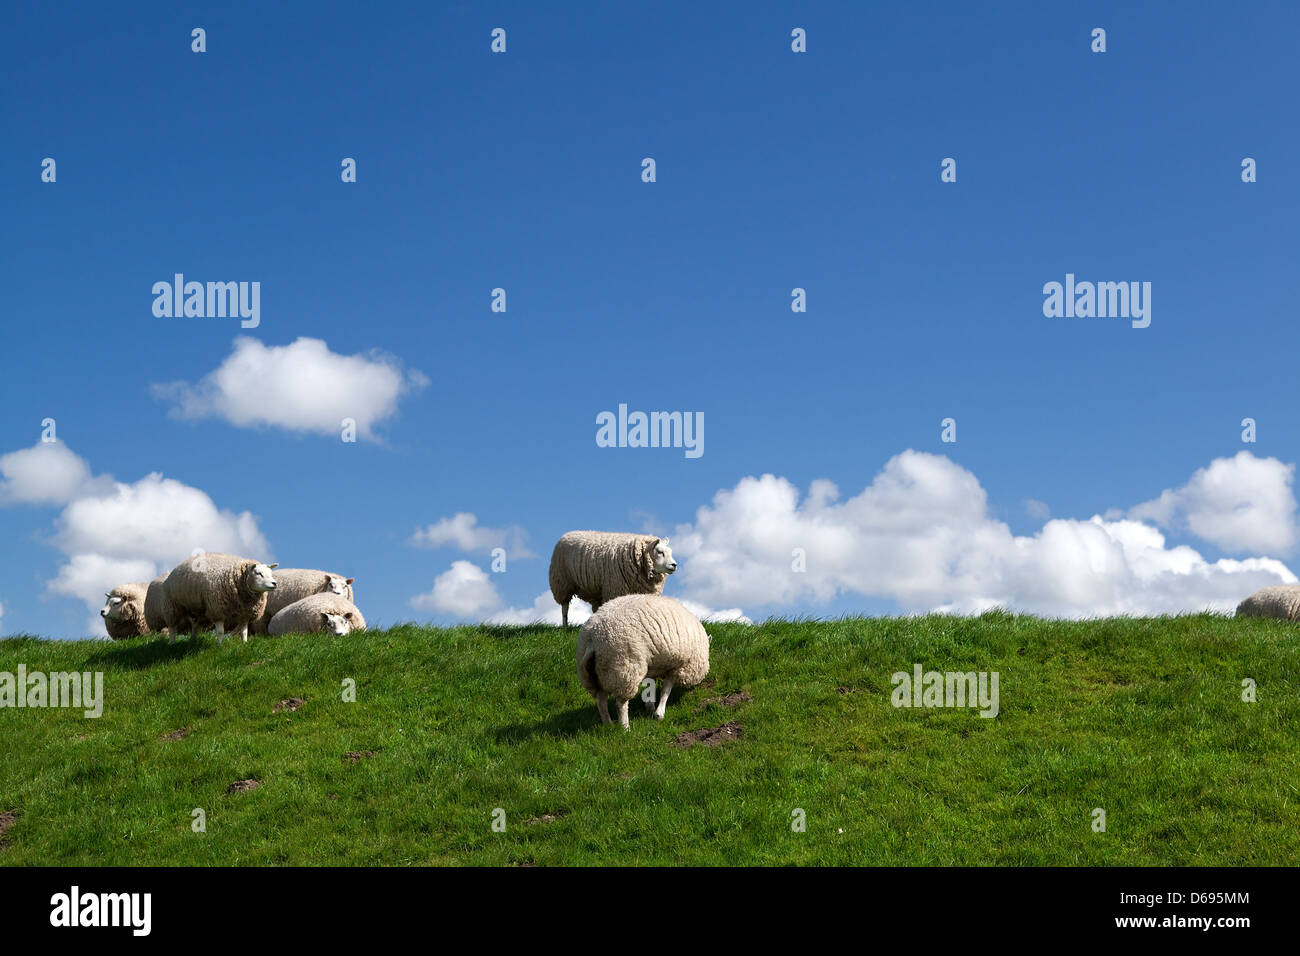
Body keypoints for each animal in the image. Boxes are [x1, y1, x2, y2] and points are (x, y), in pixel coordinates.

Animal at [549, 531, 677, 627]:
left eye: (670, 552)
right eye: (660, 552)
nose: (674, 565)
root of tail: (568, 534)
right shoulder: (615, 589)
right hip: (562, 582)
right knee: (565, 607)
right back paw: (565, 626)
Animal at [576, 594, 710, 729]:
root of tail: (592, 638)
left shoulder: (653, 666)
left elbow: (651, 686)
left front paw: (650, 708)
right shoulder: (680, 666)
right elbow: (666, 689)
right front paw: (659, 713)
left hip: (592, 676)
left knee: (601, 701)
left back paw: (608, 724)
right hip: (624, 666)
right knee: (620, 703)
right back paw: (625, 727)